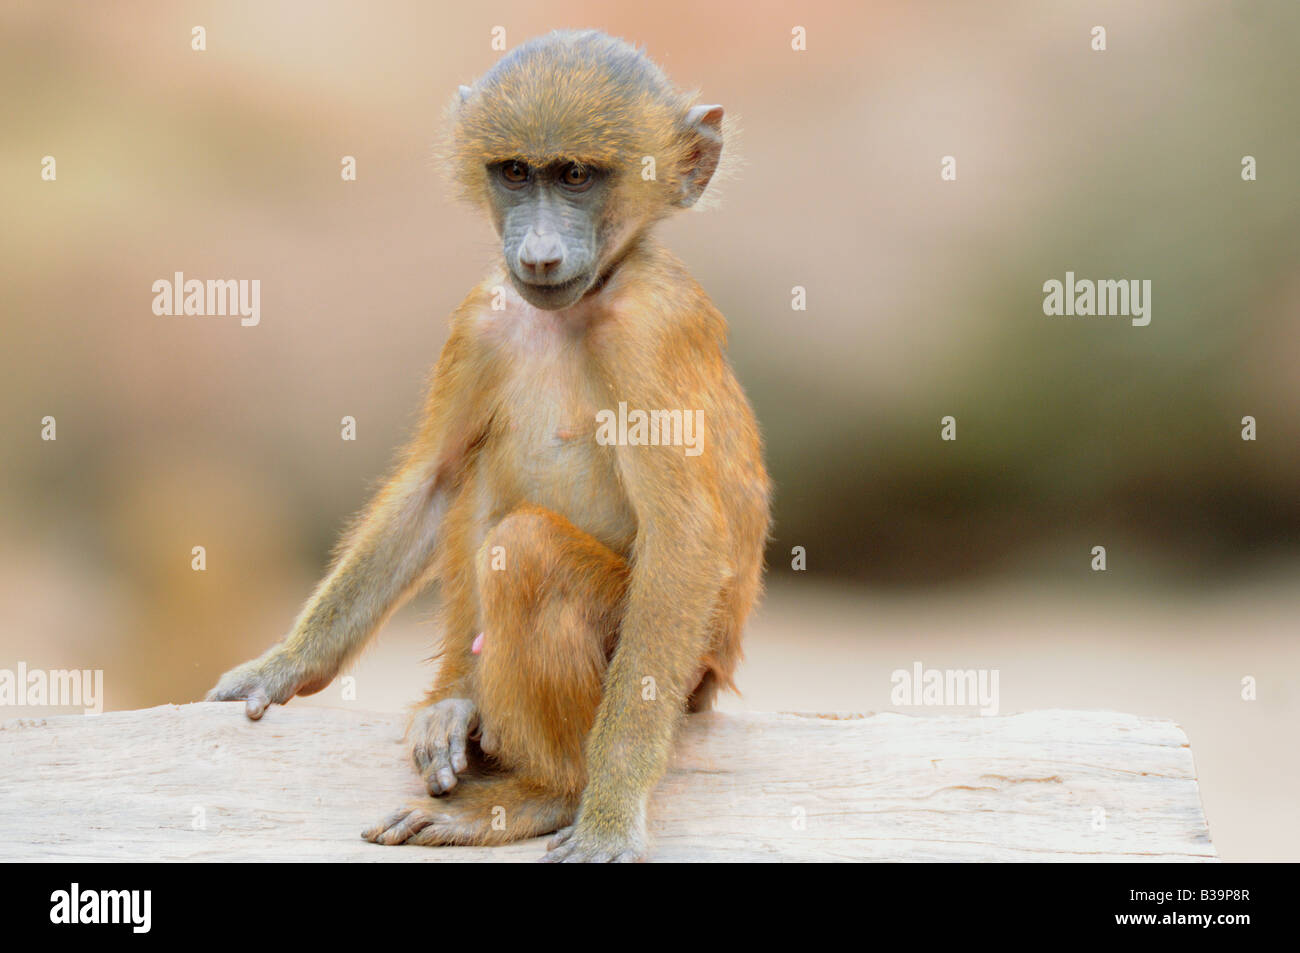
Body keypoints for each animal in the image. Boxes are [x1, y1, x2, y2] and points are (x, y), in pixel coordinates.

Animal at [207, 29, 770, 862]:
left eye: (575, 176)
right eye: (514, 173)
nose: (535, 254)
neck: (583, 302)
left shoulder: (651, 330)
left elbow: (685, 538)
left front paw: (609, 811)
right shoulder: (480, 318)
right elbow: (435, 478)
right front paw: (283, 666)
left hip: (688, 671)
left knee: (528, 553)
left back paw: (547, 791)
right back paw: (460, 706)